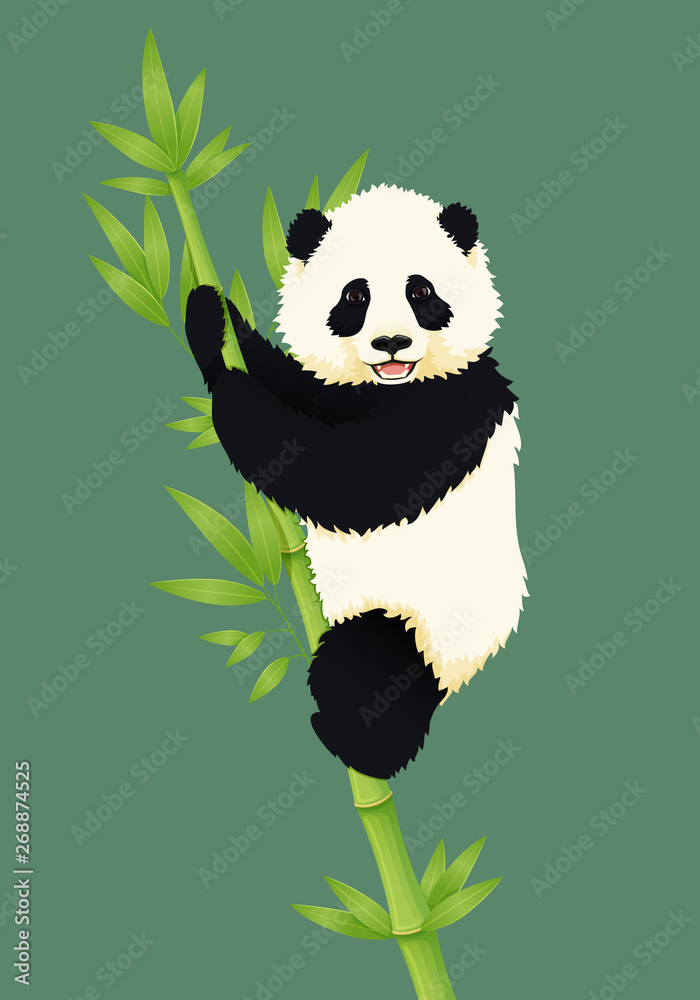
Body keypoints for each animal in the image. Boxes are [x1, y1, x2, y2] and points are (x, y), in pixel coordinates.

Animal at [185, 183, 528, 780]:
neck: (391, 386)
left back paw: (351, 743)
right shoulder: (333, 393)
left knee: (369, 671)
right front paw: (212, 313)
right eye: (354, 297)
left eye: (421, 291)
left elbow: (349, 485)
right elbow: (294, 389)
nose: (391, 343)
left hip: (428, 623)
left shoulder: (454, 408)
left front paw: (225, 378)